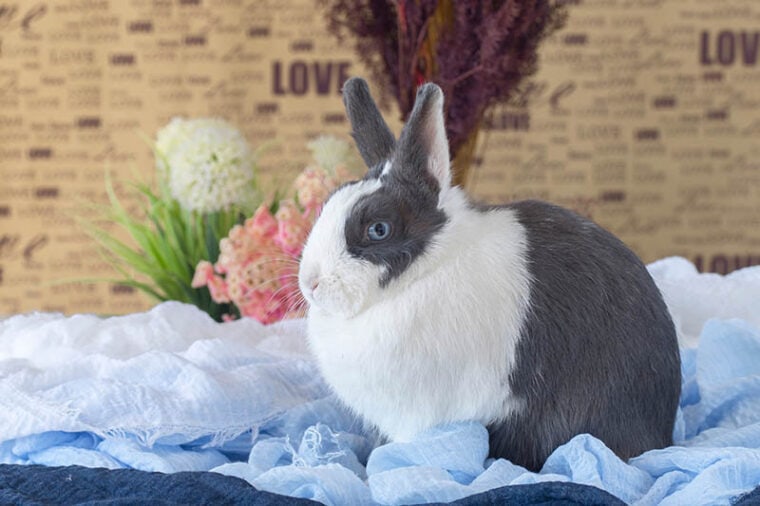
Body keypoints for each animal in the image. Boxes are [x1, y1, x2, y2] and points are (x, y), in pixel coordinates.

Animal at [298, 77, 681, 472]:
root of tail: (659, 433)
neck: (428, 268)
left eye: (378, 229)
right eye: (328, 203)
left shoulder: (419, 414)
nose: (310, 284)